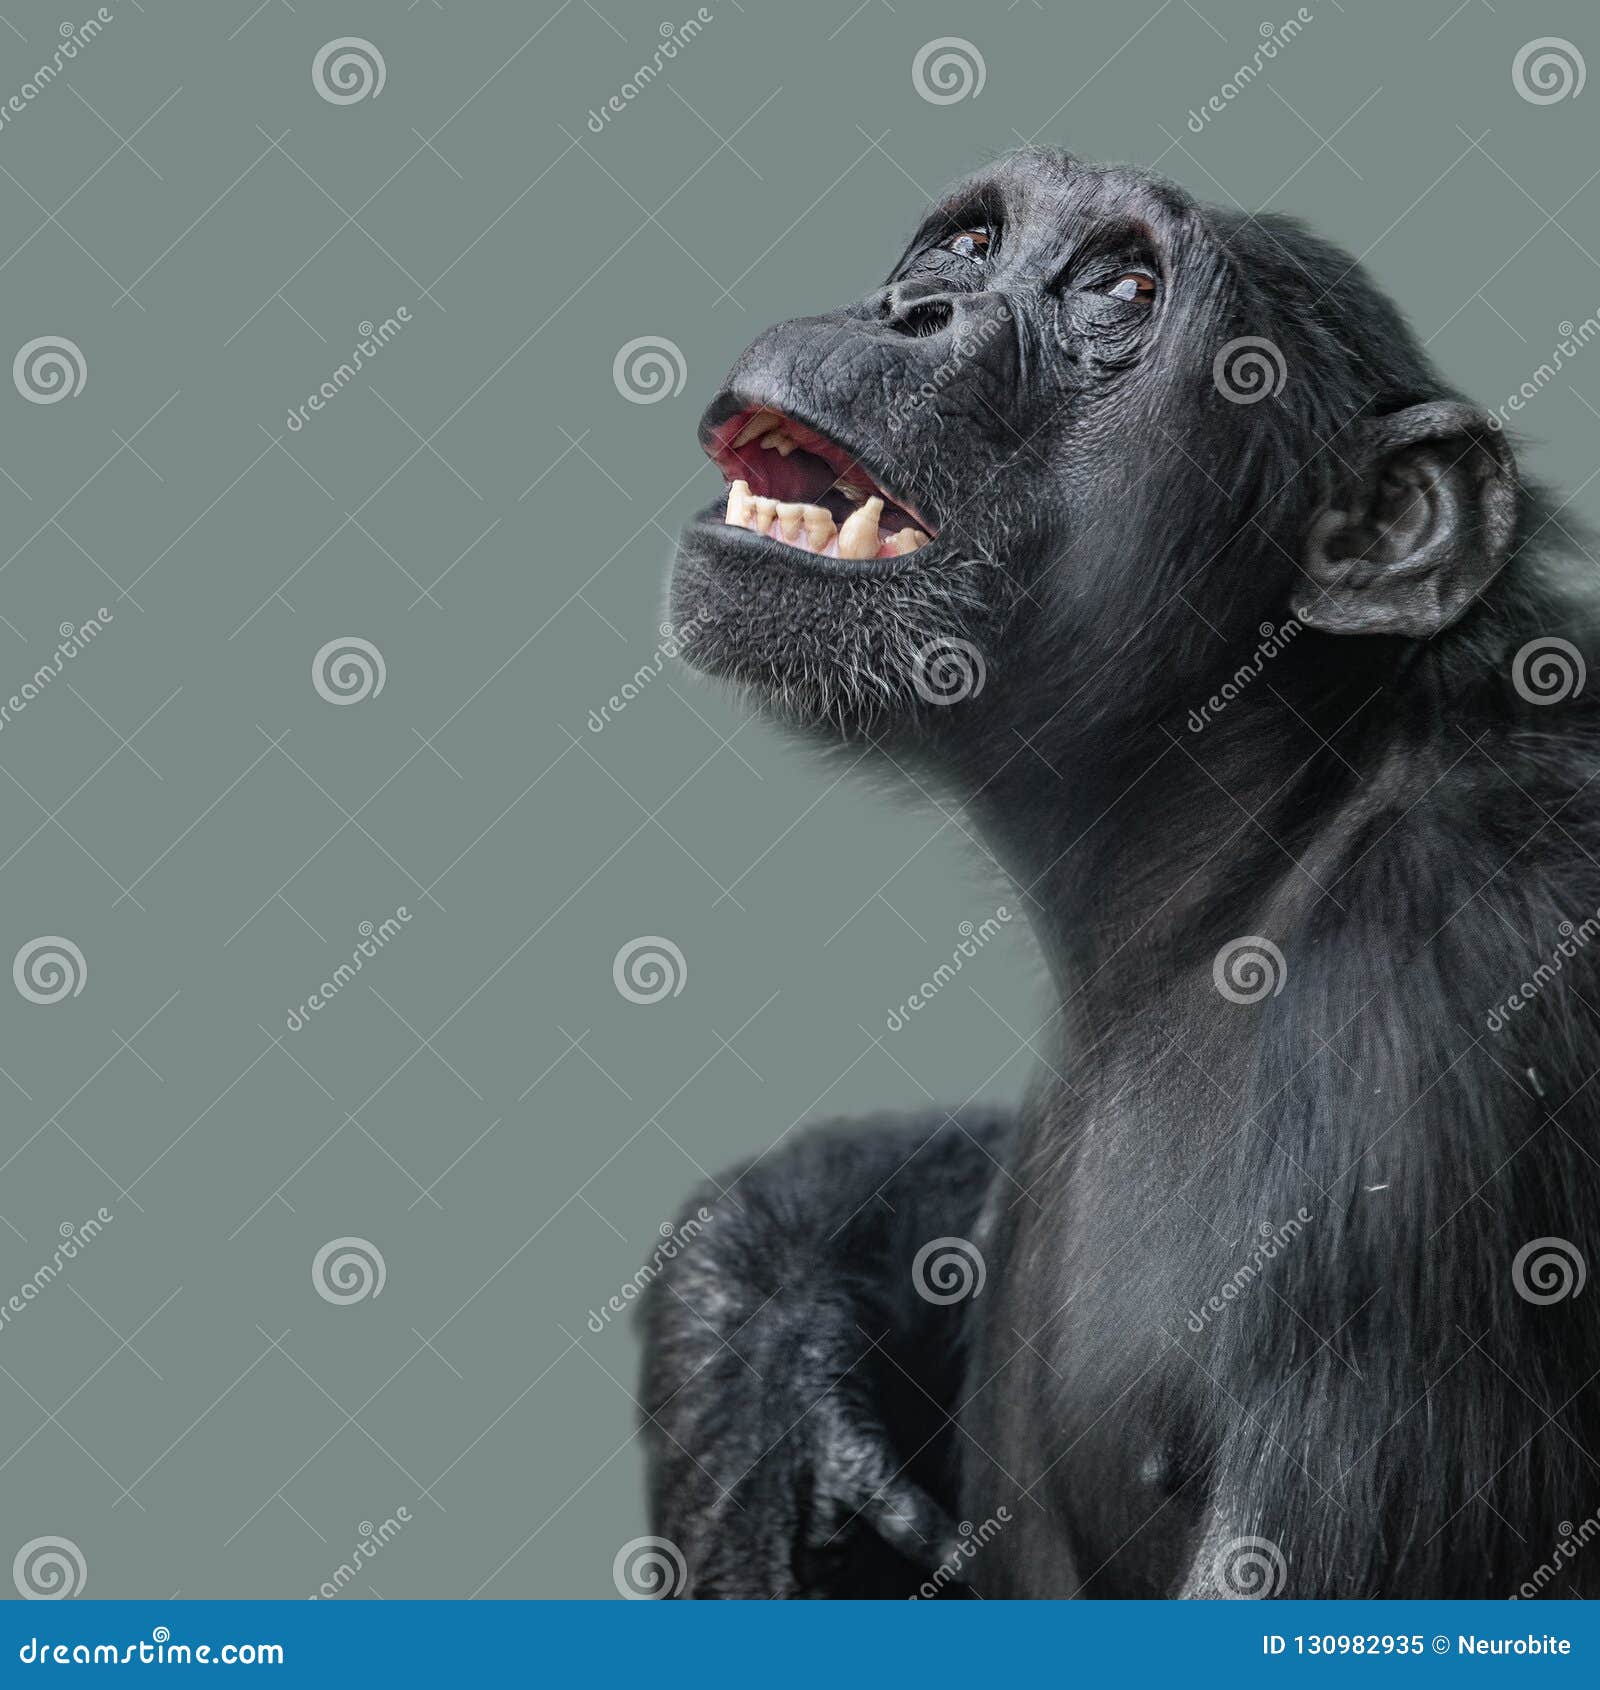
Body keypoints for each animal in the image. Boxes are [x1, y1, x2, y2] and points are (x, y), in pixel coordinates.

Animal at [637, 148, 1600, 1599]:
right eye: (971, 244)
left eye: (1122, 291)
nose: (911, 308)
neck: (1235, 873)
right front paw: (757, 1332)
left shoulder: (1457, 1025)